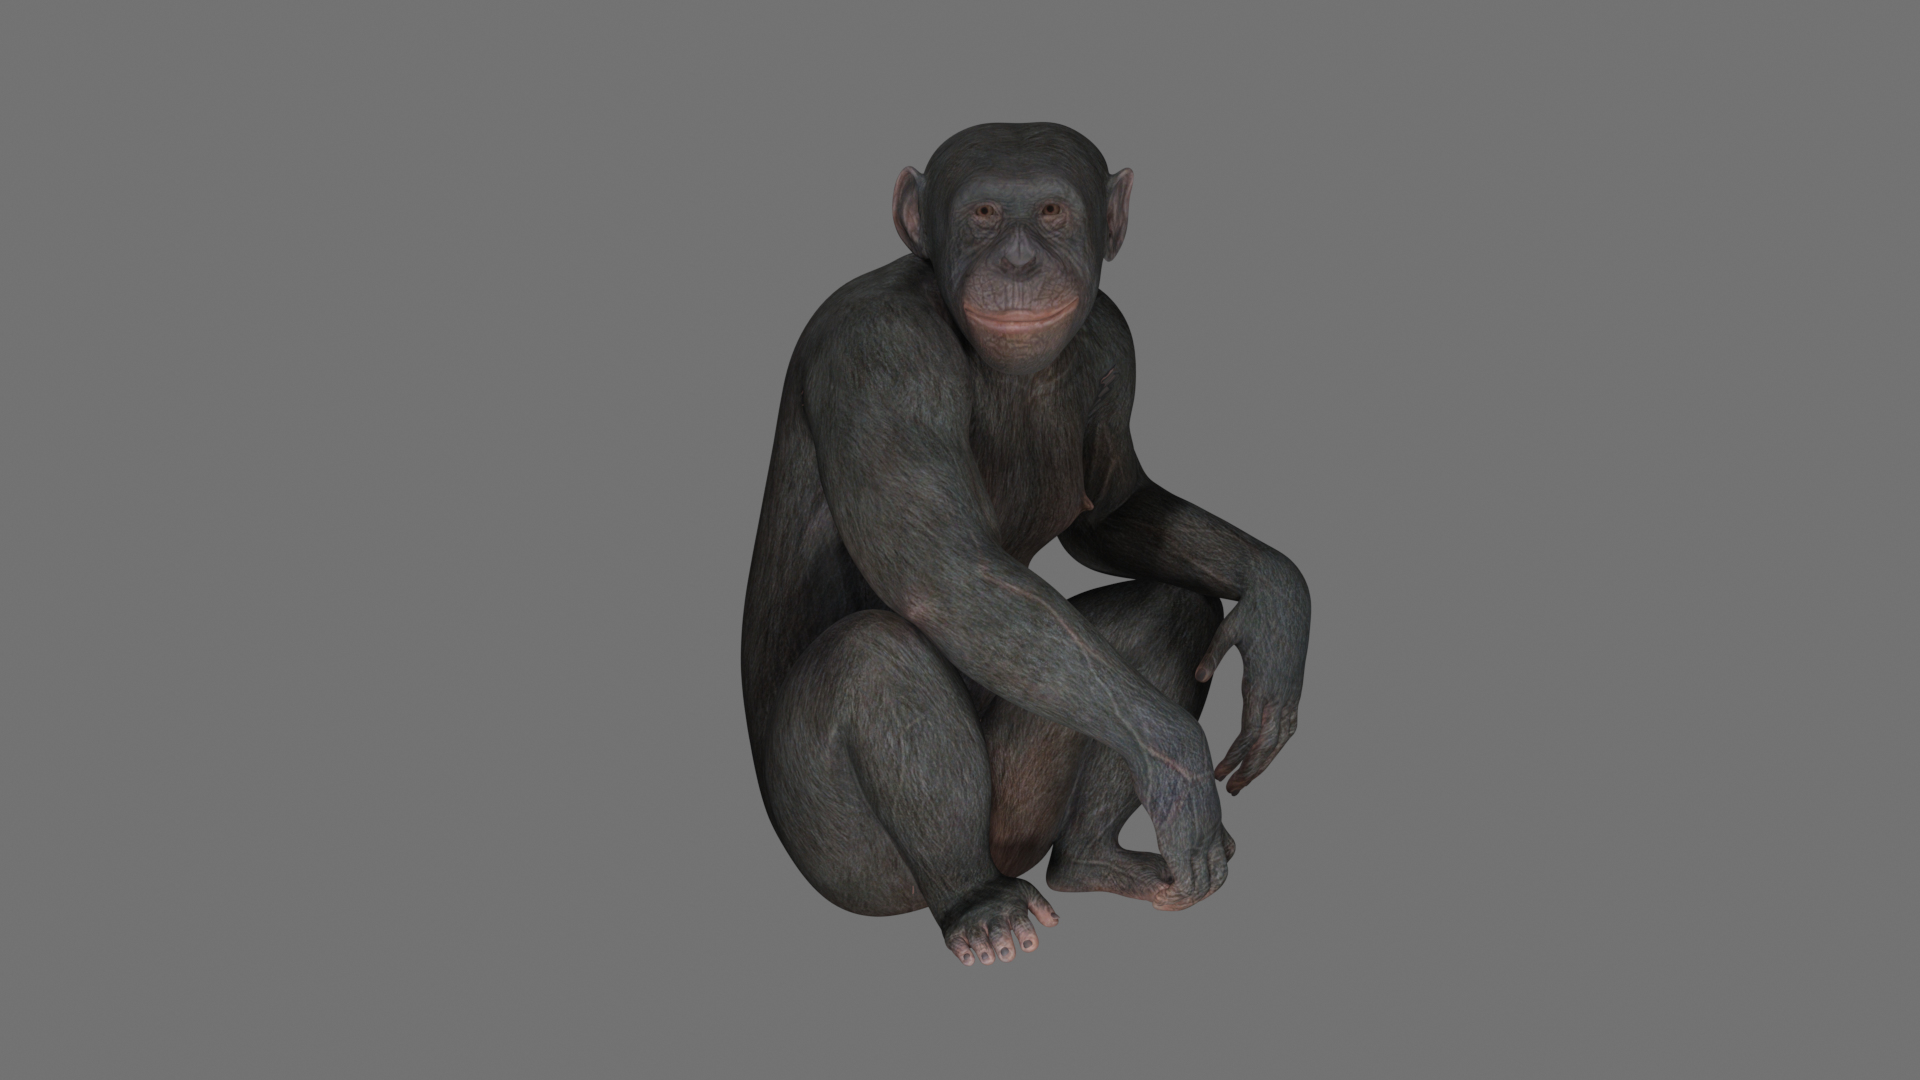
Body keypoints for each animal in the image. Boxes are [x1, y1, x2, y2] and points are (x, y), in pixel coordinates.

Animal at [741, 123, 1310, 966]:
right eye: (982, 214)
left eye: (1049, 212)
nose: (1016, 262)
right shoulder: (878, 351)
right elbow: (942, 572)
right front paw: (1178, 763)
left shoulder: (1112, 340)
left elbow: (1115, 510)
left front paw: (1276, 599)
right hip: (846, 862)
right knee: (873, 656)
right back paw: (978, 904)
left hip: (1021, 807)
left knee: (1169, 613)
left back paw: (1091, 860)